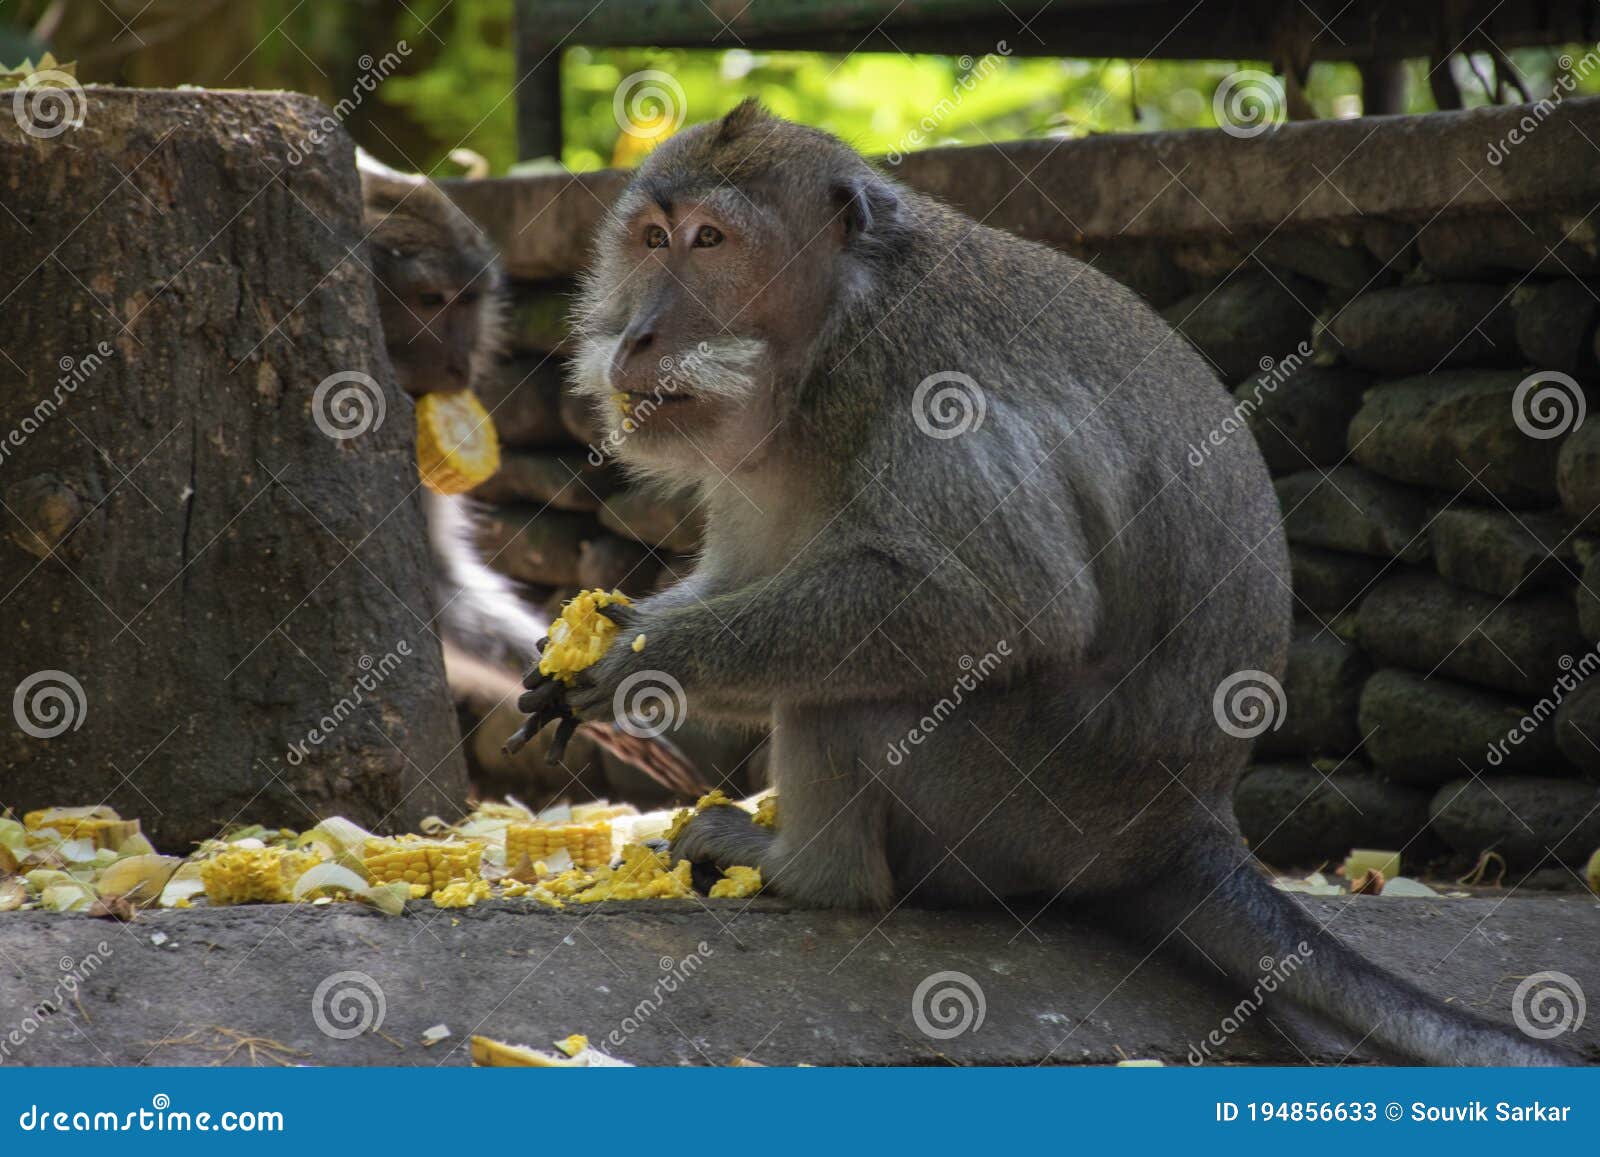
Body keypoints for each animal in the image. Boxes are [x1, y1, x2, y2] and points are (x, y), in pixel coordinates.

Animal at [509, 100, 1574, 1066]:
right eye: (653, 238)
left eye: (712, 241)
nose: (638, 336)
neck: (834, 333)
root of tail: (1187, 823)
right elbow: (746, 574)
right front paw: (590, 650)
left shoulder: (935, 394)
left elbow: (999, 606)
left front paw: (647, 659)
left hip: (1028, 800)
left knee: (856, 696)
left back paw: (809, 875)